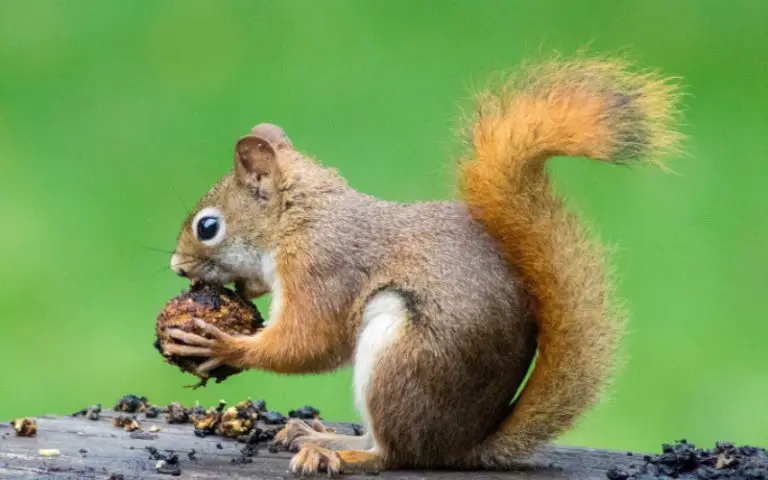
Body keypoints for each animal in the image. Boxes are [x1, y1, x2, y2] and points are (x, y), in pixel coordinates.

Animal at [162, 55, 682, 475]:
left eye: (208, 227)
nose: (177, 267)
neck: (301, 219)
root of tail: (461, 447)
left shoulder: (323, 268)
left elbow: (310, 341)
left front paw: (223, 344)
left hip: (400, 357)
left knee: (394, 455)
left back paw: (340, 453)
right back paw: (316, 433)